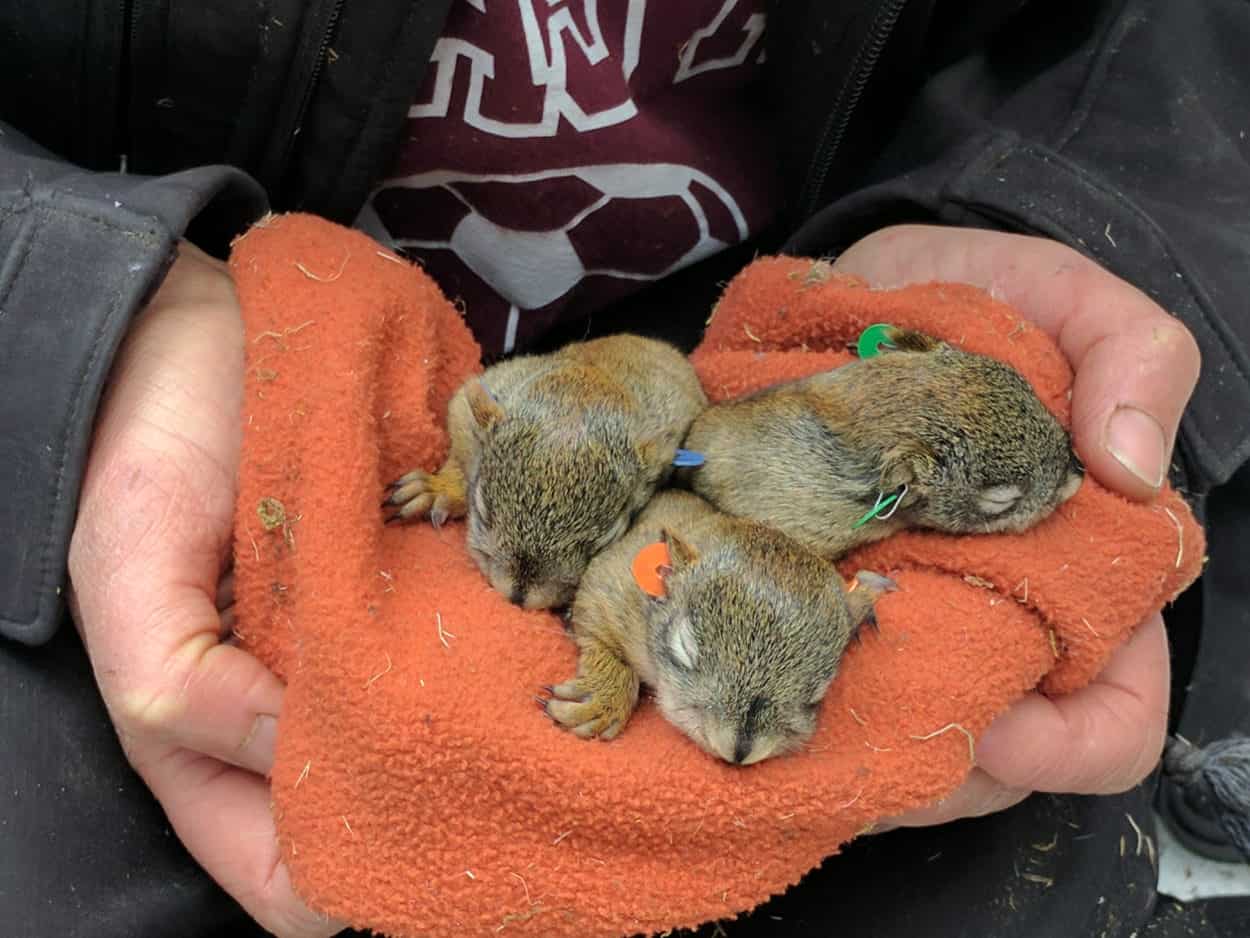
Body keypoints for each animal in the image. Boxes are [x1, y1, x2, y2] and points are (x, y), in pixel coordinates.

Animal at [384, 334, 707, 609]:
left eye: (603, 542)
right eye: (483, 512)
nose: (518, 598)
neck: (586, 387)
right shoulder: (477, 398)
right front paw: (439, 488)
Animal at [543, 490, 895, 765]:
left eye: (816, 693)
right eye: (685, 647)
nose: (740, 752)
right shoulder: (609, 589)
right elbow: (599, 635)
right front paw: (603, 701)